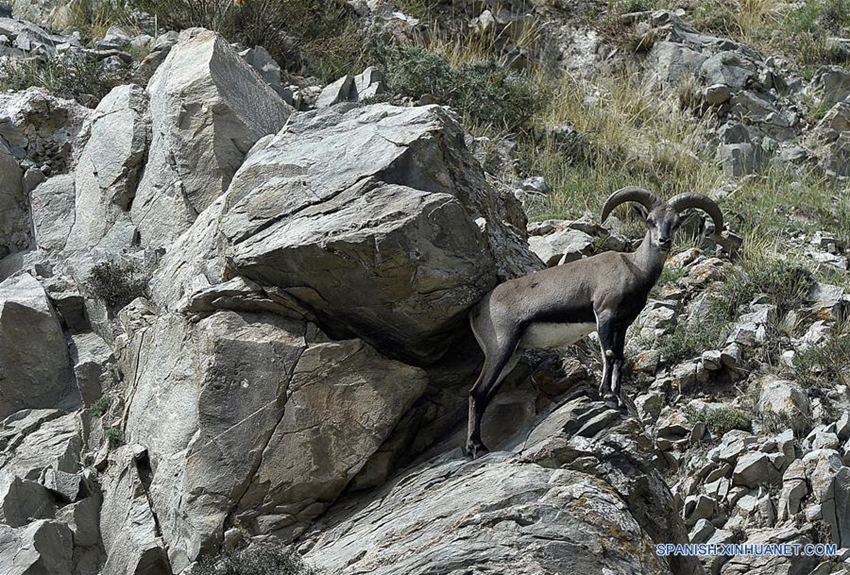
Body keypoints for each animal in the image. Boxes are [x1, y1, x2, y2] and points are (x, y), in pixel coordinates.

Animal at [465, 186, 724, 458]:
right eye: (651, 221)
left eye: (675, 223)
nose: (664, 241)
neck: (633, 269)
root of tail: (477, 309)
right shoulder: (604, 315)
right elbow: (608, 354)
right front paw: (607, 395)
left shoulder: (622, 324)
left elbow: (619, 358)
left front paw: (618, 400)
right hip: (501, 347)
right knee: (476, 392)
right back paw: (474, 447)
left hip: (512, 355)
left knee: (485, 395)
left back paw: (479, 444)